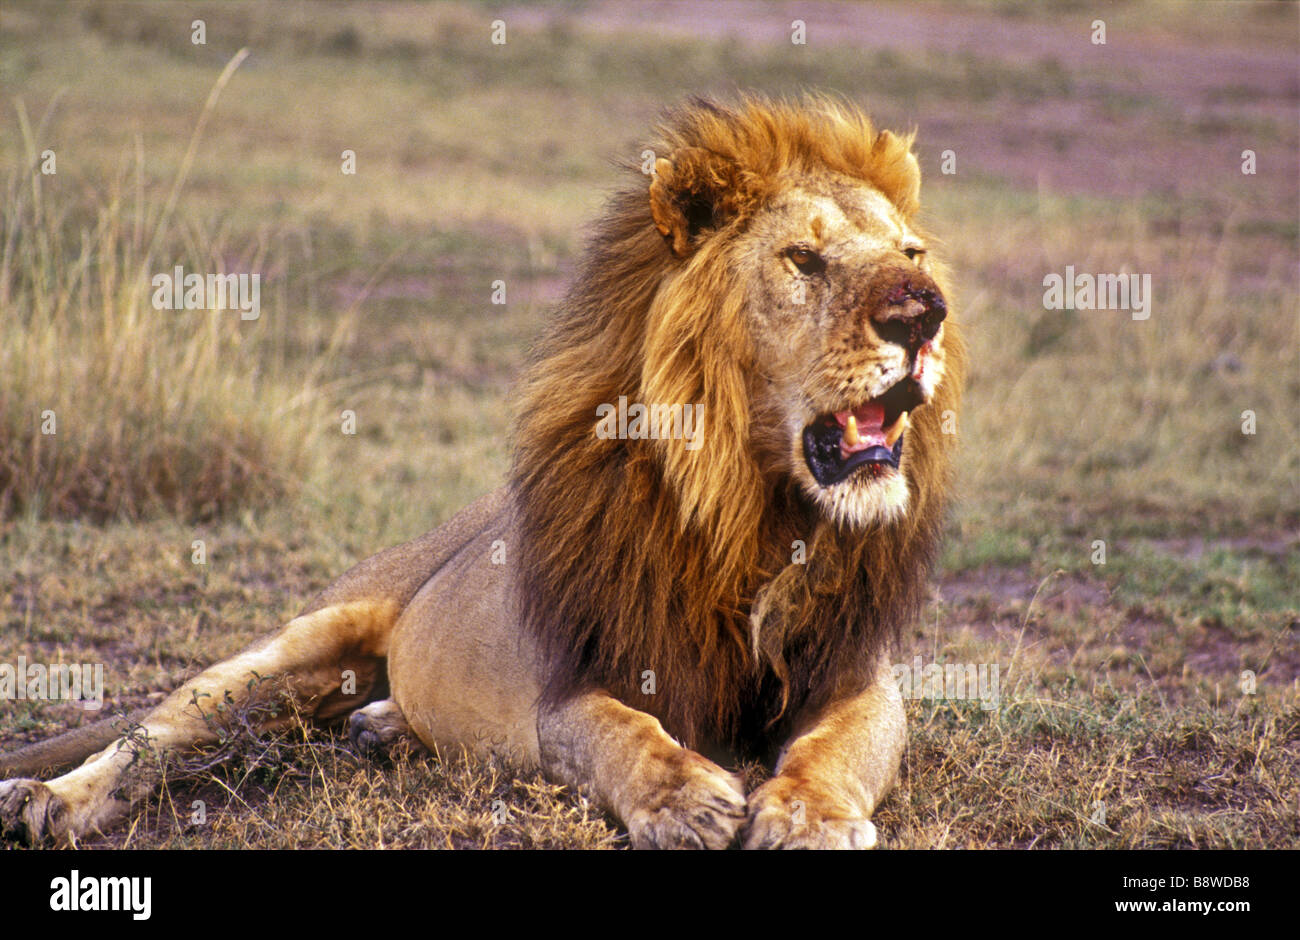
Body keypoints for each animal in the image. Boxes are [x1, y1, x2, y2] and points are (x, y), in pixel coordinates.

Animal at [0, 95, 963, 849]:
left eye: (910, 255)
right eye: (803, 260)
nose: (925, 313)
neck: (753, 509)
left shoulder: (855, 671)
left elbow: (837, 747)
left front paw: (808, 815)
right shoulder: (573, 680)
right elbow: (623, 730)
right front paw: (684, 798)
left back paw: (383, 728)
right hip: (294, 646)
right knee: (148, 738)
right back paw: (47, 800)